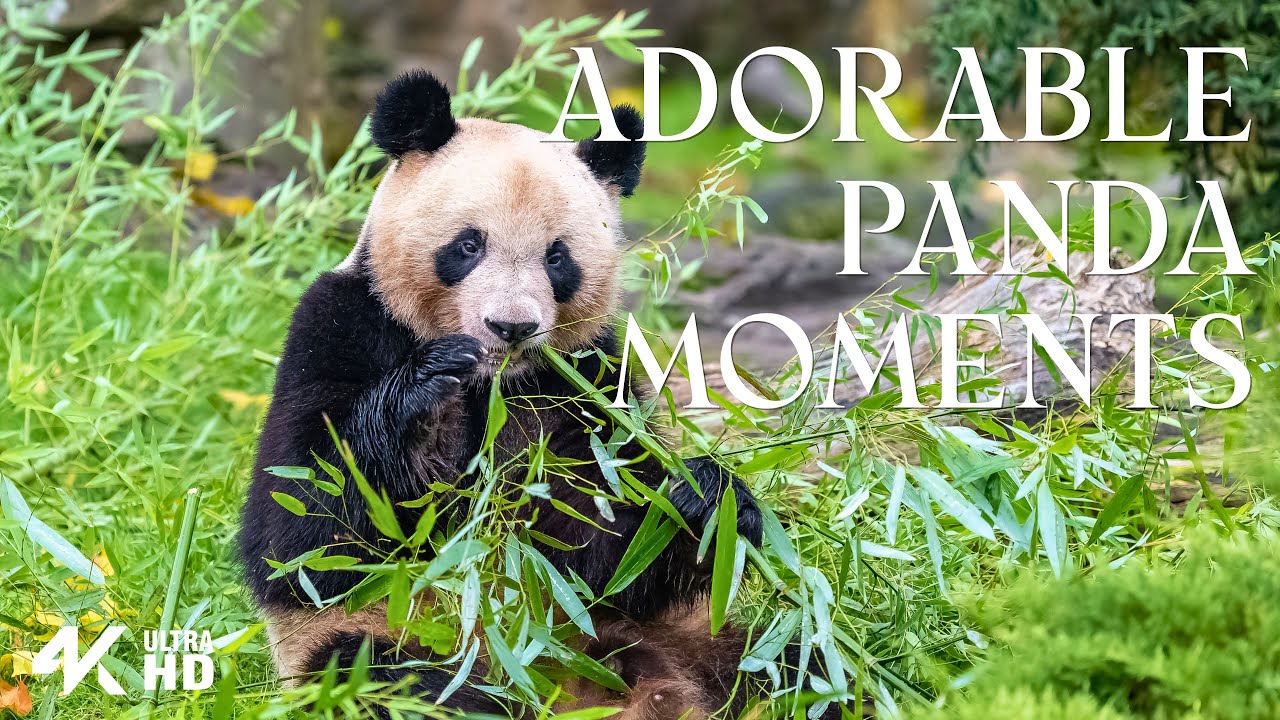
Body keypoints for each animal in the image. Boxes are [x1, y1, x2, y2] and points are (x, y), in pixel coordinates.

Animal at [239, 70, 824, 717]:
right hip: (389, 640)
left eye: (557, 257)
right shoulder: (338, 326)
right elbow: (307, 527)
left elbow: (596, 547)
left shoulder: (583, 378)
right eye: (468, 245)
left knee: (794, 664)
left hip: (697, 644)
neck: (493, 383)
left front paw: (705, 501)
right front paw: (424, 399)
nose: (511, 327)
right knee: (382, 677)